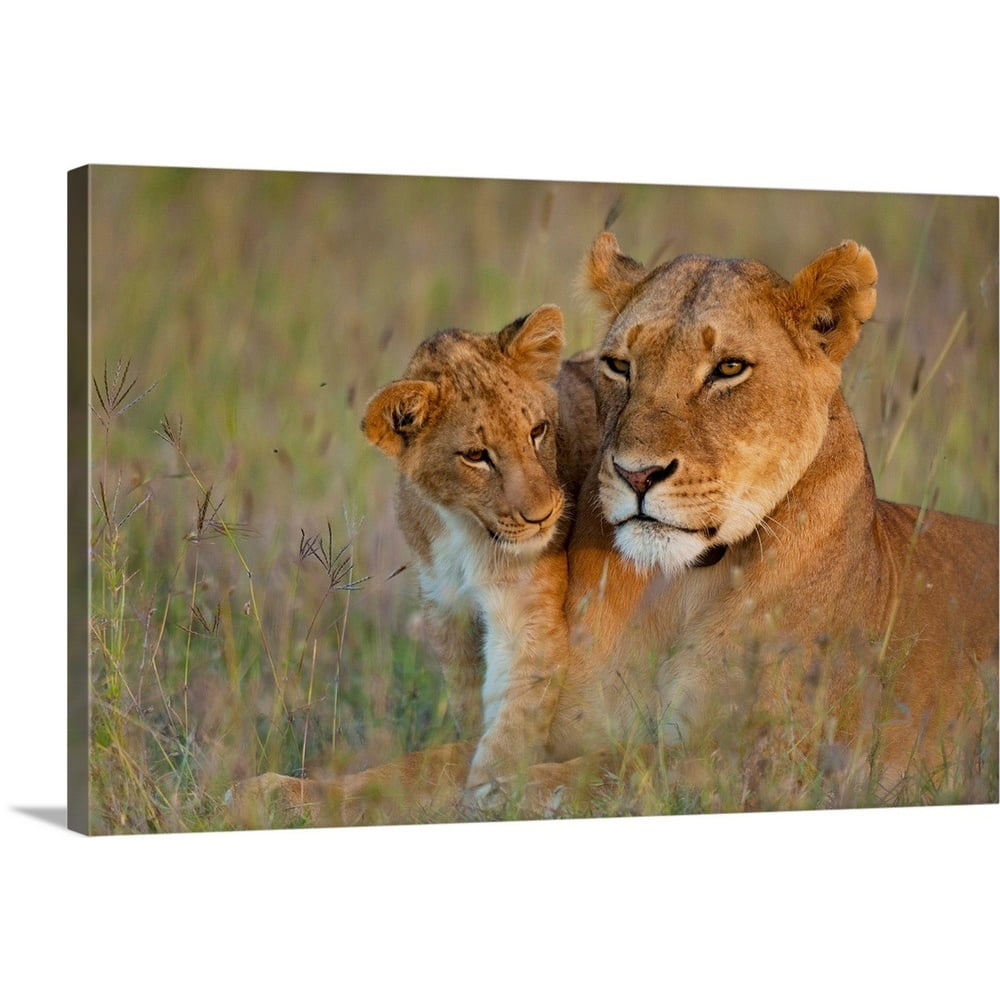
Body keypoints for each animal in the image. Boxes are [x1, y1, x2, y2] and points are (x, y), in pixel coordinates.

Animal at [360, 304, 598, 796]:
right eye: (475, 455)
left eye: (537, 431)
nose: (543, 517)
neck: (462, 531)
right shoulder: (444, 606)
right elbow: (471, 699)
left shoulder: (525, 607)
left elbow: (516, 710)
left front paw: (495, 788)